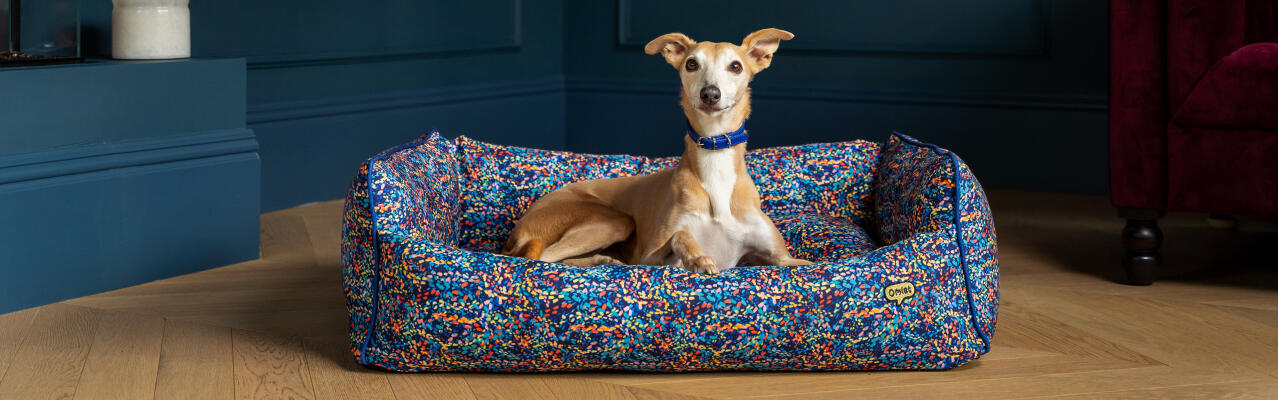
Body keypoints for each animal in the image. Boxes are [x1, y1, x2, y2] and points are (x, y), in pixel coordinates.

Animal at [498, 26, 807, 272]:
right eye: (691, 64)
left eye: (735, 66)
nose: (710, 94)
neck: (714, 158)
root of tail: (517, 231)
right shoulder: (649, 258)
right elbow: (680, 236)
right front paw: (698, 258)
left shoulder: (784, 258)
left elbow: (801, 263)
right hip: (612, 220)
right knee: (540, 258)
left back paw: (601, 259)